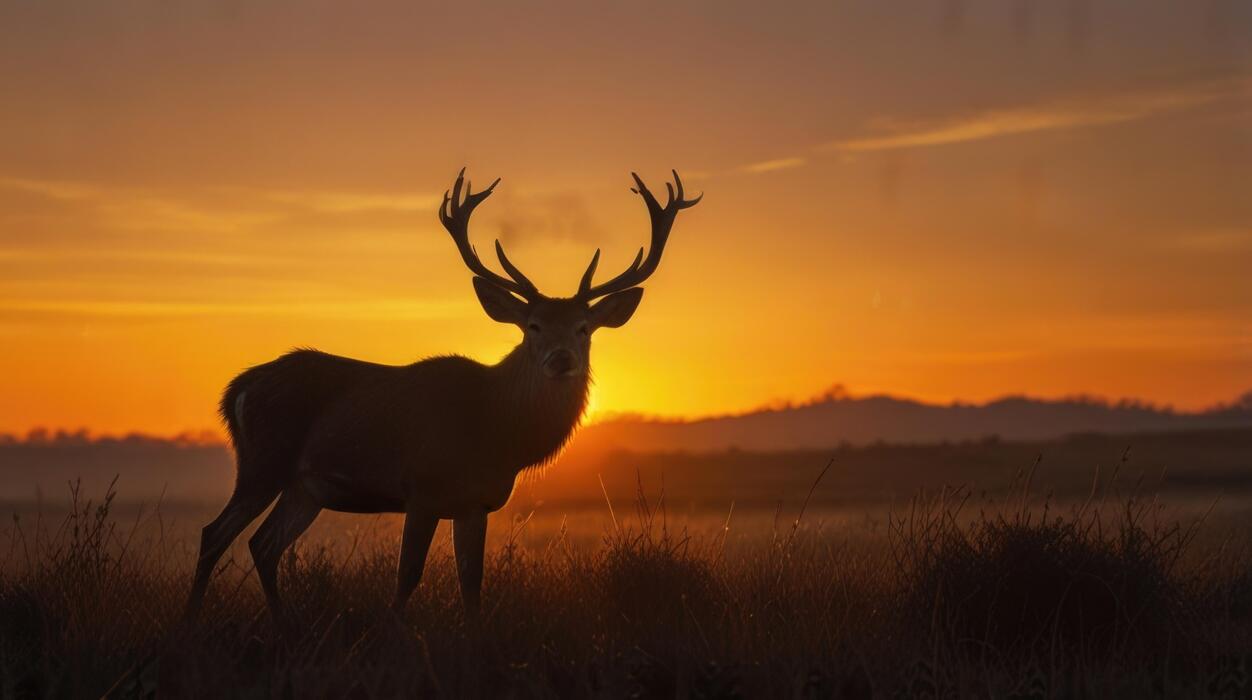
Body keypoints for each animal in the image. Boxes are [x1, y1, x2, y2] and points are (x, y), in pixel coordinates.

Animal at [184, 168, 701, 625]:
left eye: (584, 328)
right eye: (532, 326)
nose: (560, 358)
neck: (498, 433)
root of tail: (239, 388)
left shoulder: (475, 503)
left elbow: (471, 583)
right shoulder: (423, 488)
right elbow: (406, 578)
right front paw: (394, 637)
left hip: (306, 486)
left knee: (263, 545)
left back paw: (282, 624)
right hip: (264, 461)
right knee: (215, 534)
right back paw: (193, 623)